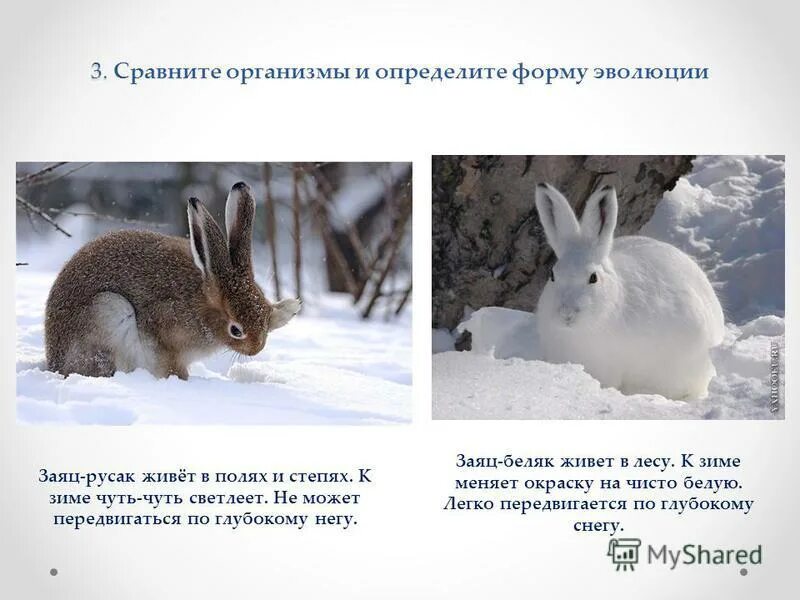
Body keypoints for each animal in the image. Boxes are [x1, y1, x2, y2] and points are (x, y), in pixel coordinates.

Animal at [44, 181, 301, 380]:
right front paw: (182, 380)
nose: (256, 349)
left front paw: (289, 308)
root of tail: (54, 359)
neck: (201, 306)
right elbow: (168, 364)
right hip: (108, 310)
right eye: (236, 330)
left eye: (264, 318)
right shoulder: (162, 331)